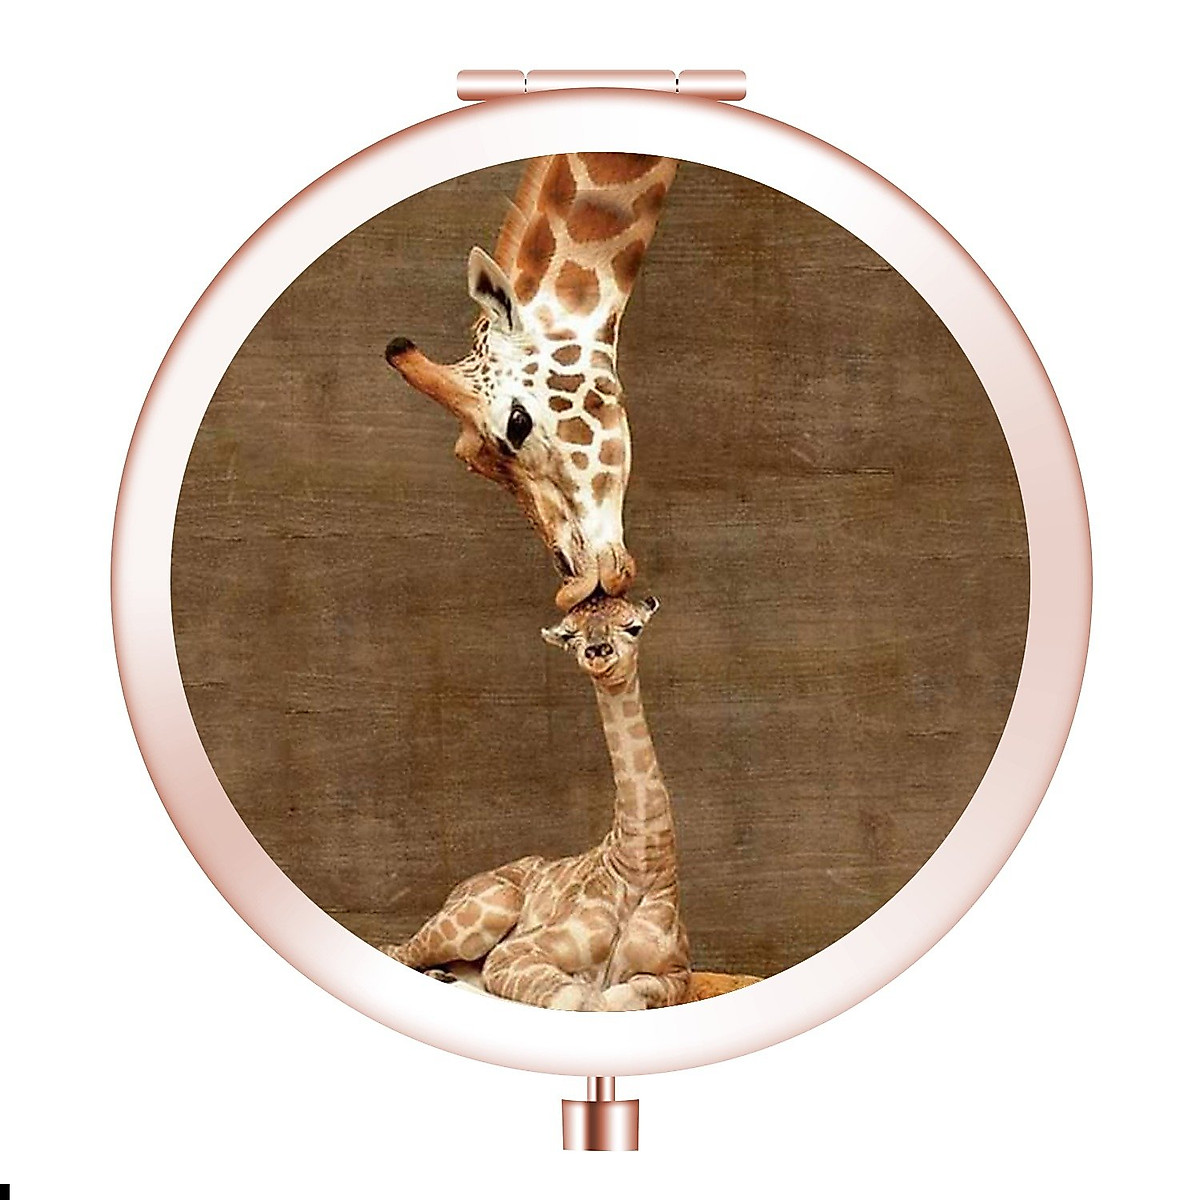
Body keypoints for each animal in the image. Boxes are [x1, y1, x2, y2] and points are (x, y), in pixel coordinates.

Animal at [379, 594, 690, 1011]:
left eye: (633, 627)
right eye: (570, 636)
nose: (597, 652)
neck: (641, 865)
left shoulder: (678, 974)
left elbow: (624, 994)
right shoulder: (514, 952)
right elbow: (576, 996)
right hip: (493, 904)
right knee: (396, 951)